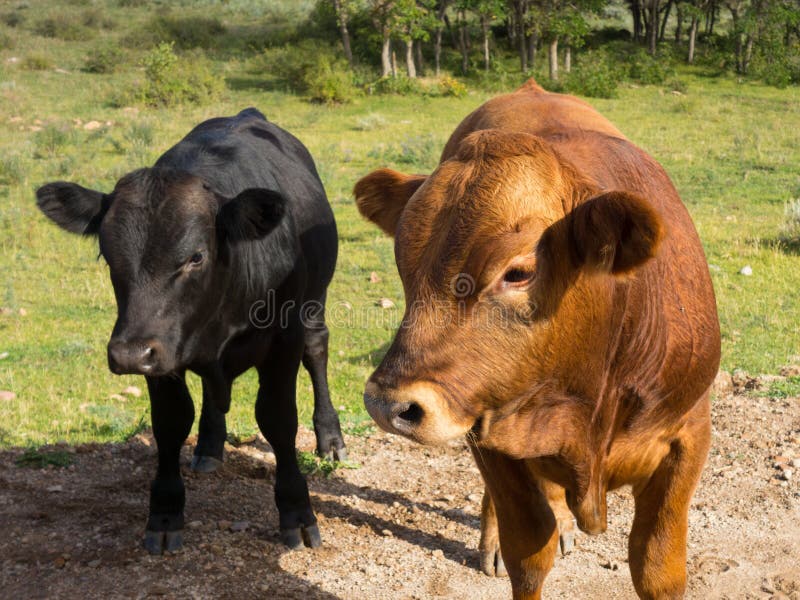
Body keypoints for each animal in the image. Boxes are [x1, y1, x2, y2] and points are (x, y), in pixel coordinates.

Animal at [35, 108, 346, 554]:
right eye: (107, 255)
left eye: (196, 256)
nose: (128, 355)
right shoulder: (159, 349)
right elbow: (170, 421)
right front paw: (164, 514)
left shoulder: (283, 339)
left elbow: (278, 418)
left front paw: (297, 512)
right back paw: (210, 445)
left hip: (314, 301)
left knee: (316, 350)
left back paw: (331, 438)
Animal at [353, 80, 720, 599]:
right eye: (405, 263)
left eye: (518, 272)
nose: (388, 404)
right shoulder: (490, 437)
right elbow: (528, 553)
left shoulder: (688, 436)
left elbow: (655, 565)